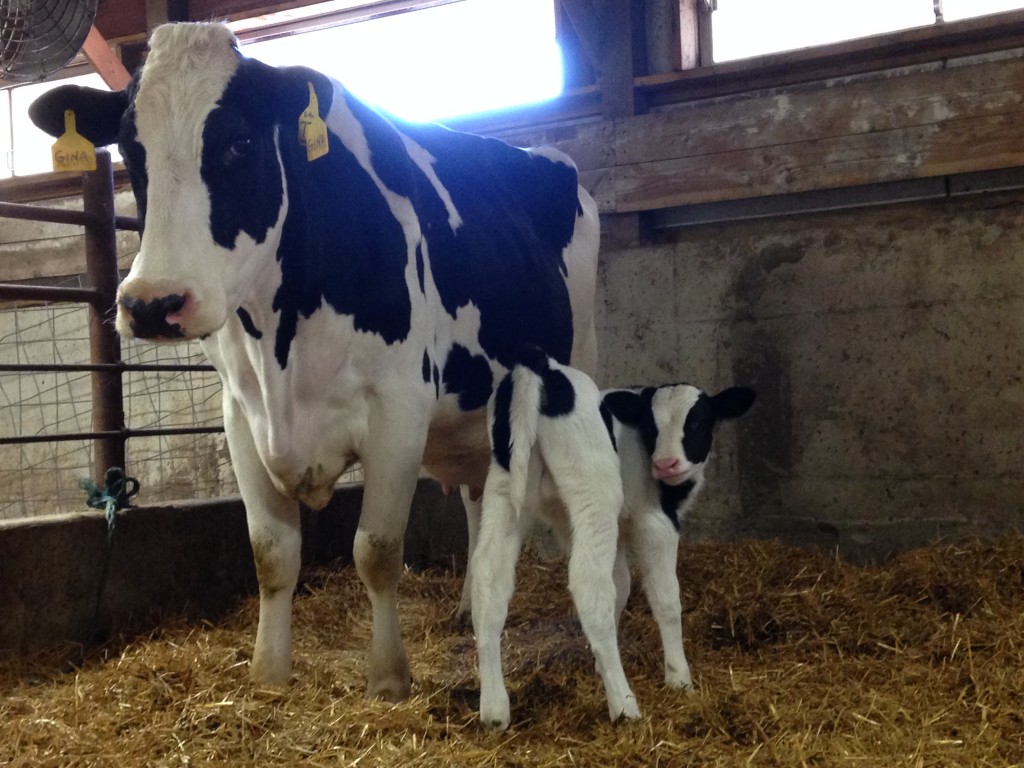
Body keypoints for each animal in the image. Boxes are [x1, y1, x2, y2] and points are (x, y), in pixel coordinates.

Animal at [28, 22, 599, 701]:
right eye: (130, 150)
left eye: (241, 142)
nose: (151, 304)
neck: (279, 343)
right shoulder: (241, 414)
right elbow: (271, 552)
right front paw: (269, 674)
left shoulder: (398, 408)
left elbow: (376, 550)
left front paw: (387, 678)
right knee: (477, 497)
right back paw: (469, 607)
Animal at [471, 348, 754, 729]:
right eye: (651, 426)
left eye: (698, 422)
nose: (666, 464)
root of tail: (541, 363)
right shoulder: (655, 520)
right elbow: (665, 599)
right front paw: (679, 678)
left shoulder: (572, 521)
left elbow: (620, 585)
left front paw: (599, 661)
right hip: (595, 492)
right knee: (589, 584)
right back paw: (624, 704)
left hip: (507, 486)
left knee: (490, 576)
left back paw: (494, 709)